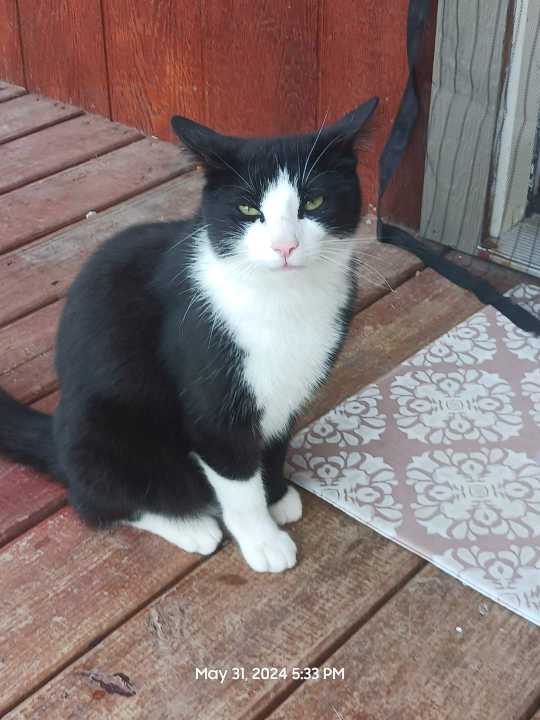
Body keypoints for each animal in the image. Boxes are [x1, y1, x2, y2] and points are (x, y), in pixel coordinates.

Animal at [0, 97, 378, 573]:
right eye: (248, 211)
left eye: (313, 200)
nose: (285, 246)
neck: (284, 300)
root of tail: (56, 434)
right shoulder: (212, 403)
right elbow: (237, 478)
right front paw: (263, 539)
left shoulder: (290, 388)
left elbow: (274, 444)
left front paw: (276, 496)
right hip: (101, 428)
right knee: (95, 502)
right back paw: (188, 525)